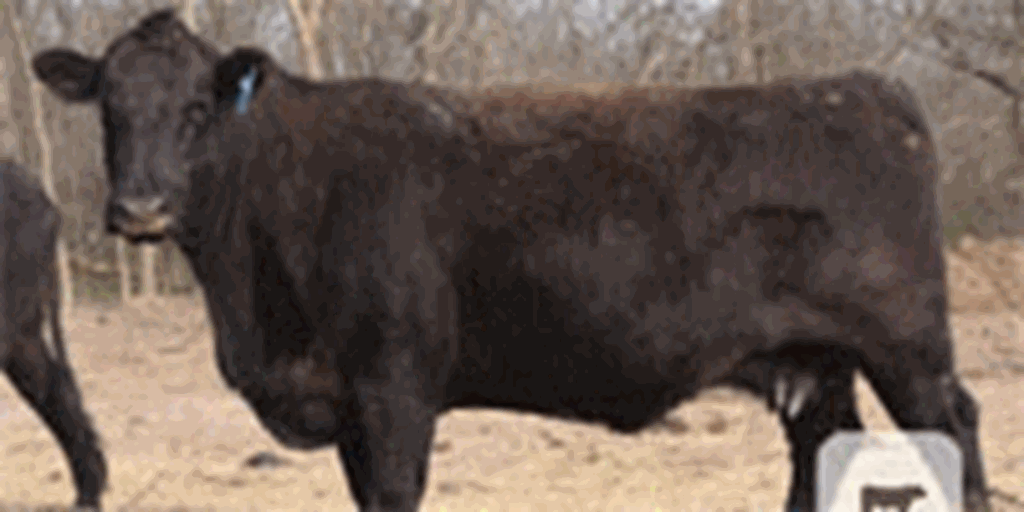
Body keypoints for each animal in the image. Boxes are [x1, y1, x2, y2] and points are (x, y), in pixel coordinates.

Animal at [31, 9, 987, 512]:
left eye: (197, 110)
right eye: (109, 108)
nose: (140, 208)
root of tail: (863, 89)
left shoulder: (395, 388)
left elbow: (396, 495)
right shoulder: (347, 405)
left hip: (908, 351)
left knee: (956, 428)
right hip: (813, 366)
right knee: (824, 455)